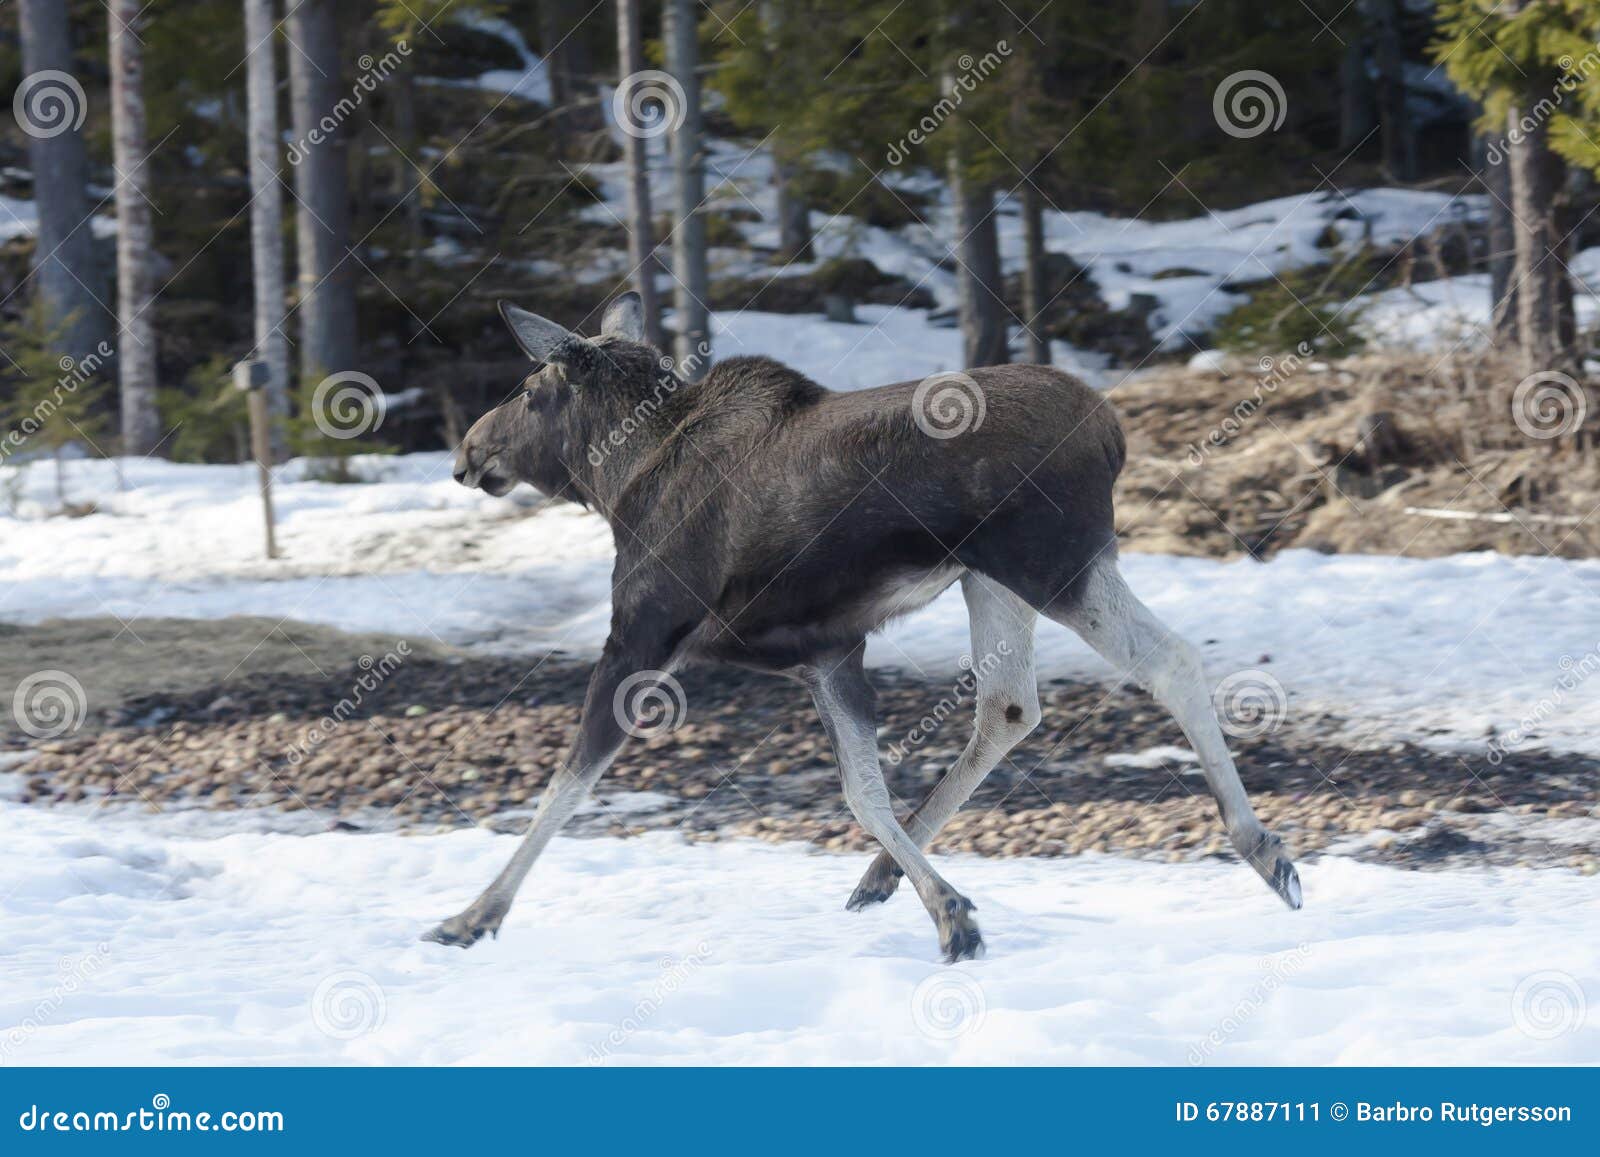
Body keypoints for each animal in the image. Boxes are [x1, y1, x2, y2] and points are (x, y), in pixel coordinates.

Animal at [429, 292, 1302, 962]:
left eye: (530, 389)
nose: (468, 451)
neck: (616, 479)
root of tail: (1115, 431)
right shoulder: (828, 653)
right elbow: (864, 788)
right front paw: (945, 903)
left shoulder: (643, 633)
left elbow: (569, 779)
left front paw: (472, 915)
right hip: (994, 577)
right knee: (1010, 703)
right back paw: (880, 875)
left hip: (1048, 562)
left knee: (1168, 659)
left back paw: (1263, 846)